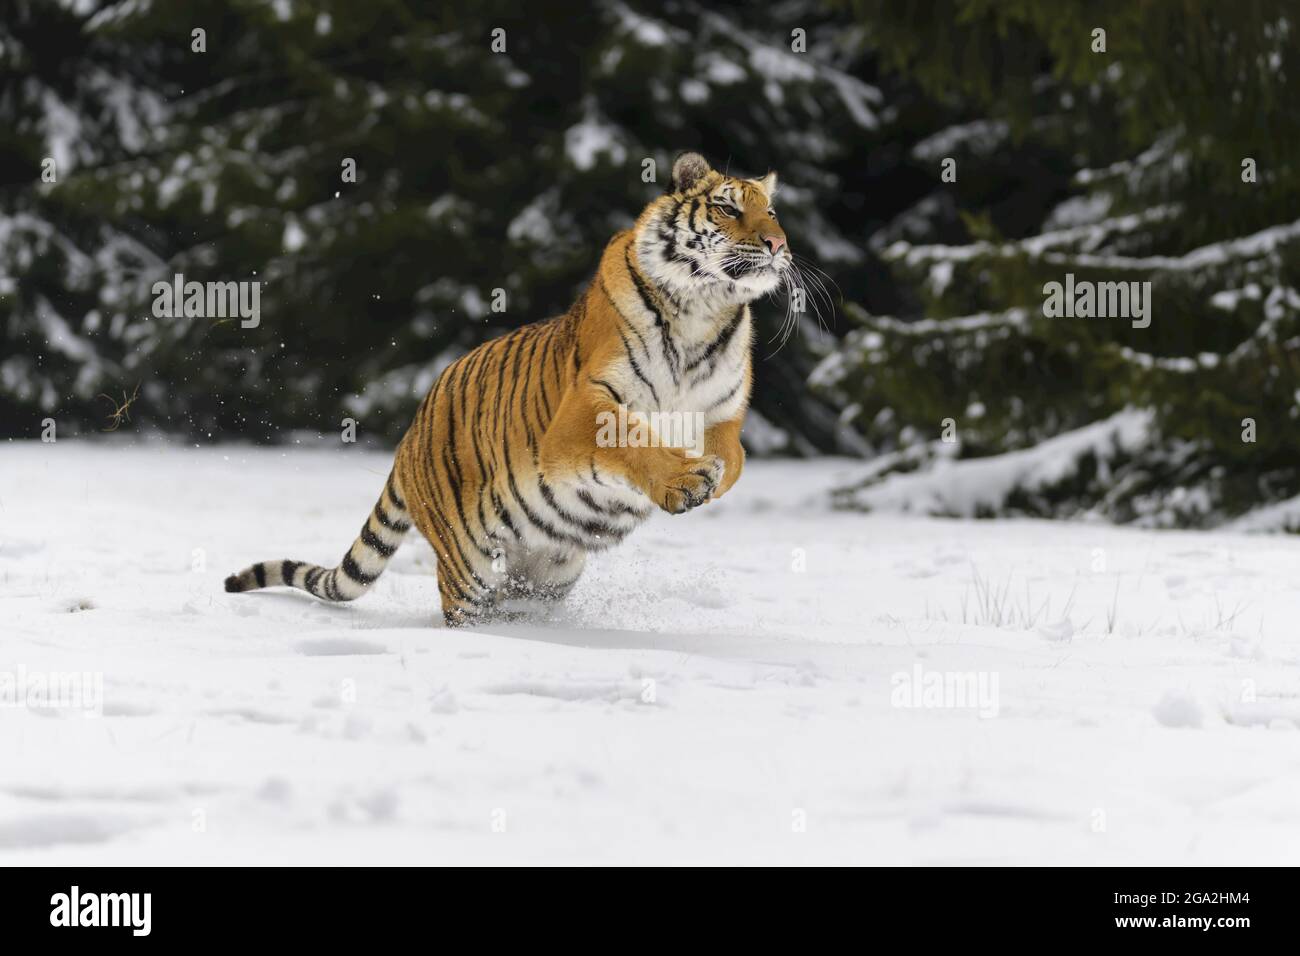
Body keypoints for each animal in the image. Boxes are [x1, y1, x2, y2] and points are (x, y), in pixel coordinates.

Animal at [224, 152, 792, 626]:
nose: (778, 245)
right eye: (728, 208)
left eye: (772, 211)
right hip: (468, 568)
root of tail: (408, 439)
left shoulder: (723, 414)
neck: (704, 308)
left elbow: (733, 458)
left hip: (546, 573)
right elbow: (634, 440)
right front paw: (685, 479)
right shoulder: (585, 408)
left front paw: (707, 475)